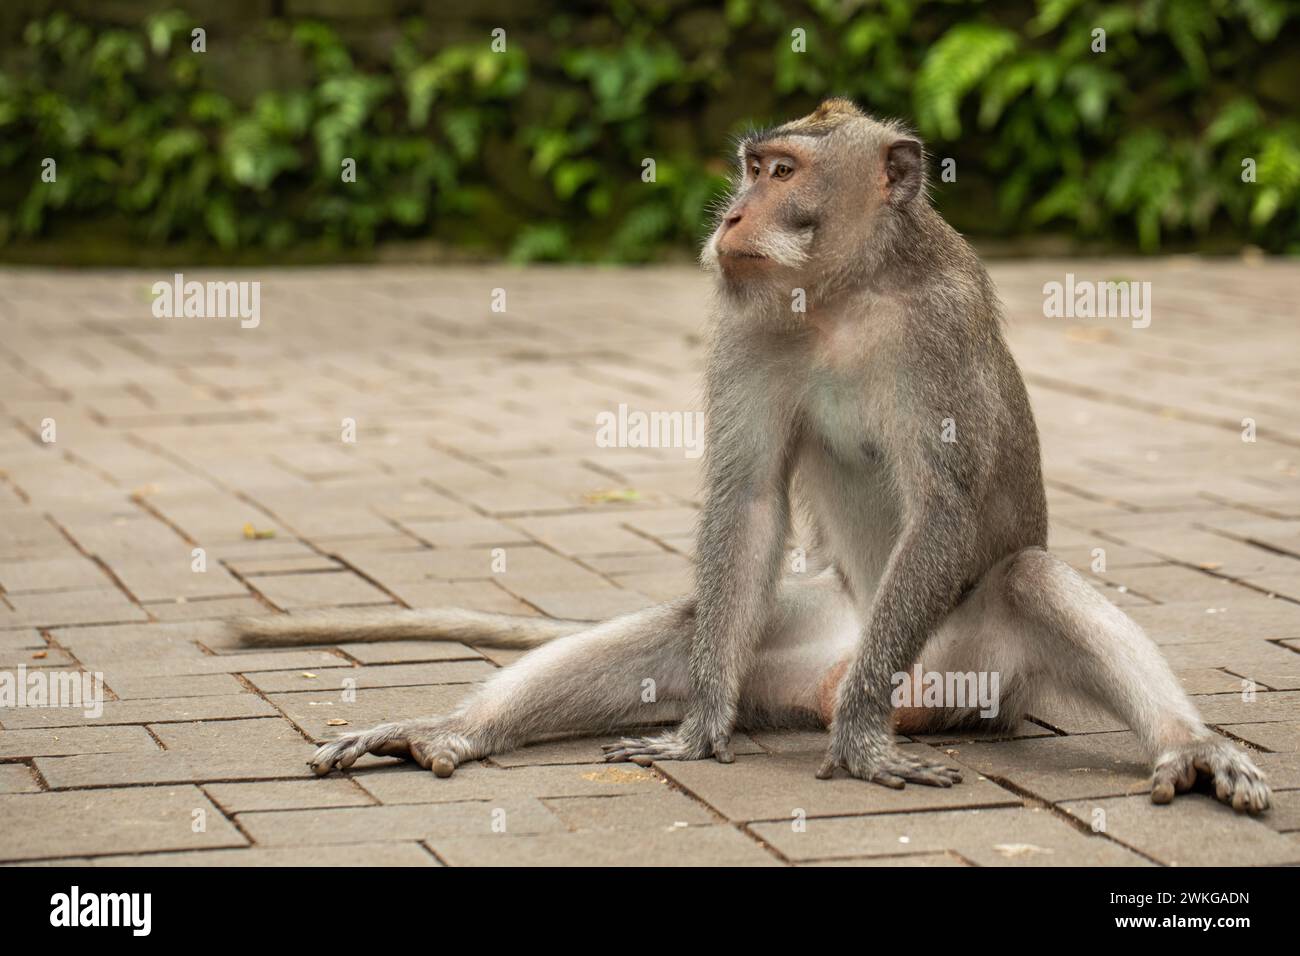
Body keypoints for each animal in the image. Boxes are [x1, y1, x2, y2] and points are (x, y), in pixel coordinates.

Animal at [232, 99, 1269, 813]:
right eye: (753, 168)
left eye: (782, 171)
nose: (732, 215)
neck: (845, 291)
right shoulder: (748, 327)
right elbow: (748, 502)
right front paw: (696, 733)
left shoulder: (940, 327)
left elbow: (949, 508)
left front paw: (859, 739)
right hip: (799, 646)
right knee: (688, 627)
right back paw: (451, 731)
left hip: (978, 669)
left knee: (1032, 579)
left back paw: (1184, 745)